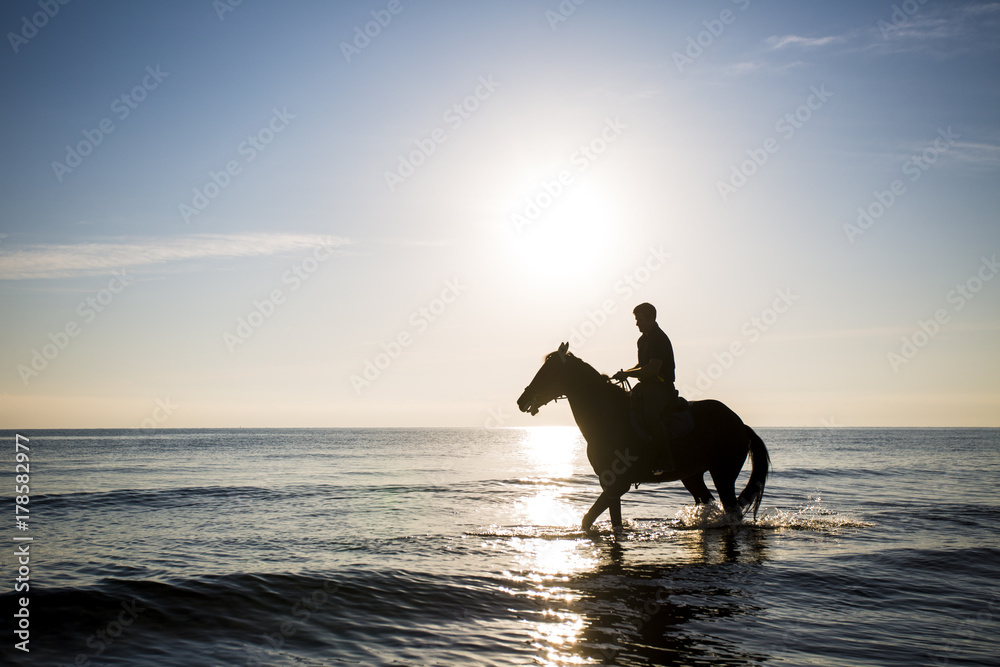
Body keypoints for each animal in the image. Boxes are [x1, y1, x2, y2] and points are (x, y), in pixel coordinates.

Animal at [516, 342, 771, 531]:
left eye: (549, 372)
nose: (522, 400)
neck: (608, 416)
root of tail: (740, 424)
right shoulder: (609, 482)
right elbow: (614, 521)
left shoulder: (619, 483)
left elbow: (588, 519)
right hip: (692, 475)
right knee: (707, 501)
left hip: (723, 474)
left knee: (731, 511)